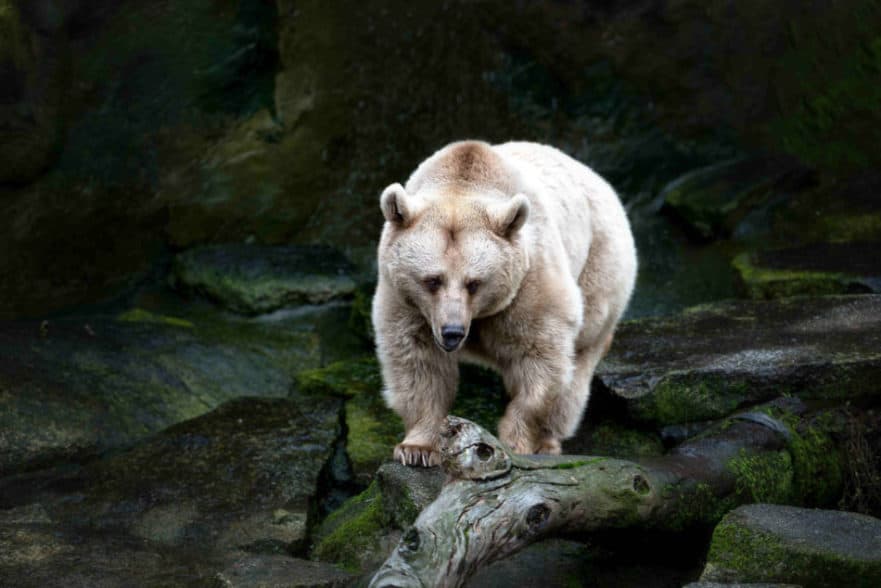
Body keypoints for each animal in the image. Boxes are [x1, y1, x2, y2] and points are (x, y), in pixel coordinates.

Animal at [372, 140, 637, 466]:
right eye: (432, 280)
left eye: (474, 283)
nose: (452, 332)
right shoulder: (406, 301)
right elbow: (418, 360)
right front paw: (417, 448)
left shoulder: (529, 281)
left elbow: (540, 358)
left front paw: (515, 442)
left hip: (600, 263)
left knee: (580, 360)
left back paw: (549, 441)